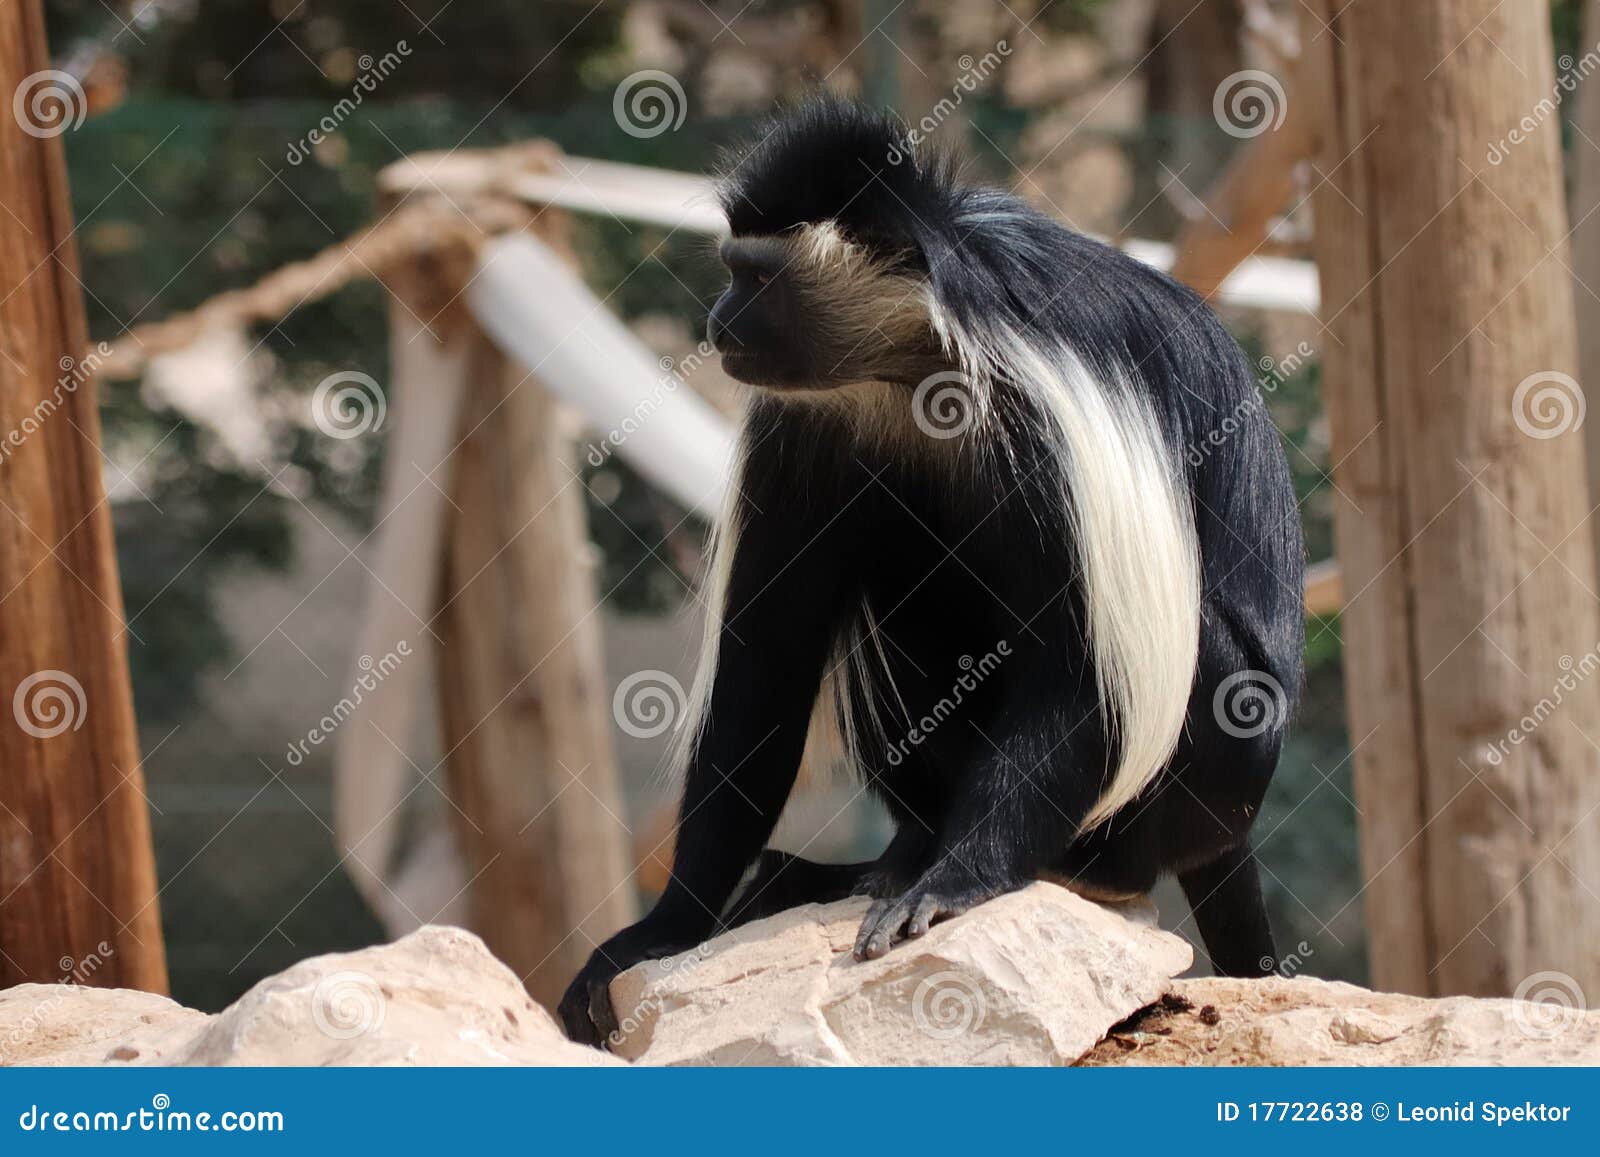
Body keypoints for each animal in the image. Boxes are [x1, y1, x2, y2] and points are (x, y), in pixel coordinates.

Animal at [559, 96, 1304, 1047]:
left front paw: (955, 887)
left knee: (1181, 664)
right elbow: (766, 663)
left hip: (1212, 766)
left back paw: (1062, 865)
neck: (917, 357)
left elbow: (1086, 675)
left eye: (754, 277)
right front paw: (663, 928)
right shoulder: (801, 426)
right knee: (892, 584)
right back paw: (881, 859)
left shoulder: (1049, 411)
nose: (718, 321)